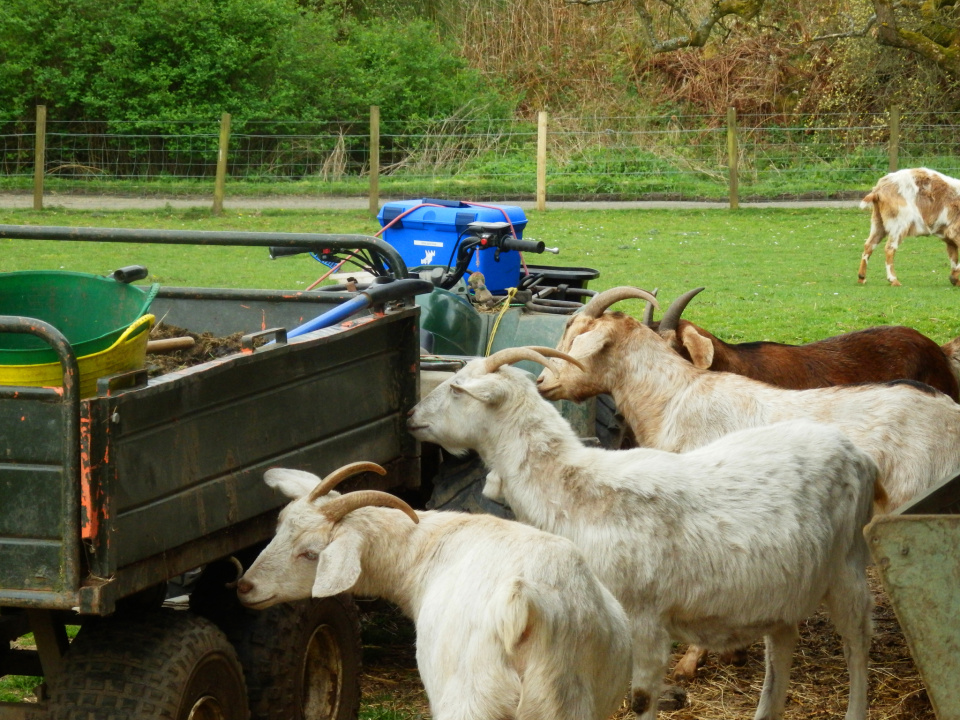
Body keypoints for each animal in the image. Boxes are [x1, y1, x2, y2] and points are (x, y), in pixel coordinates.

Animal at [237, 461, 632, 720]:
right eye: (279, 526)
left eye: (311, 553)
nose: (244, 586)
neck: (424, 549)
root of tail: (525, 602)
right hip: (567, 704)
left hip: (470, 701)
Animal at [409, 347, 879, 720]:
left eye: (457, 389)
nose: (412, 418)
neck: (577, 493)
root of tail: (859, 454)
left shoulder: (646, 620)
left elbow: (641, 698)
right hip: (786, 589)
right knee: (782, 647)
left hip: (849, 566)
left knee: (857, 644)